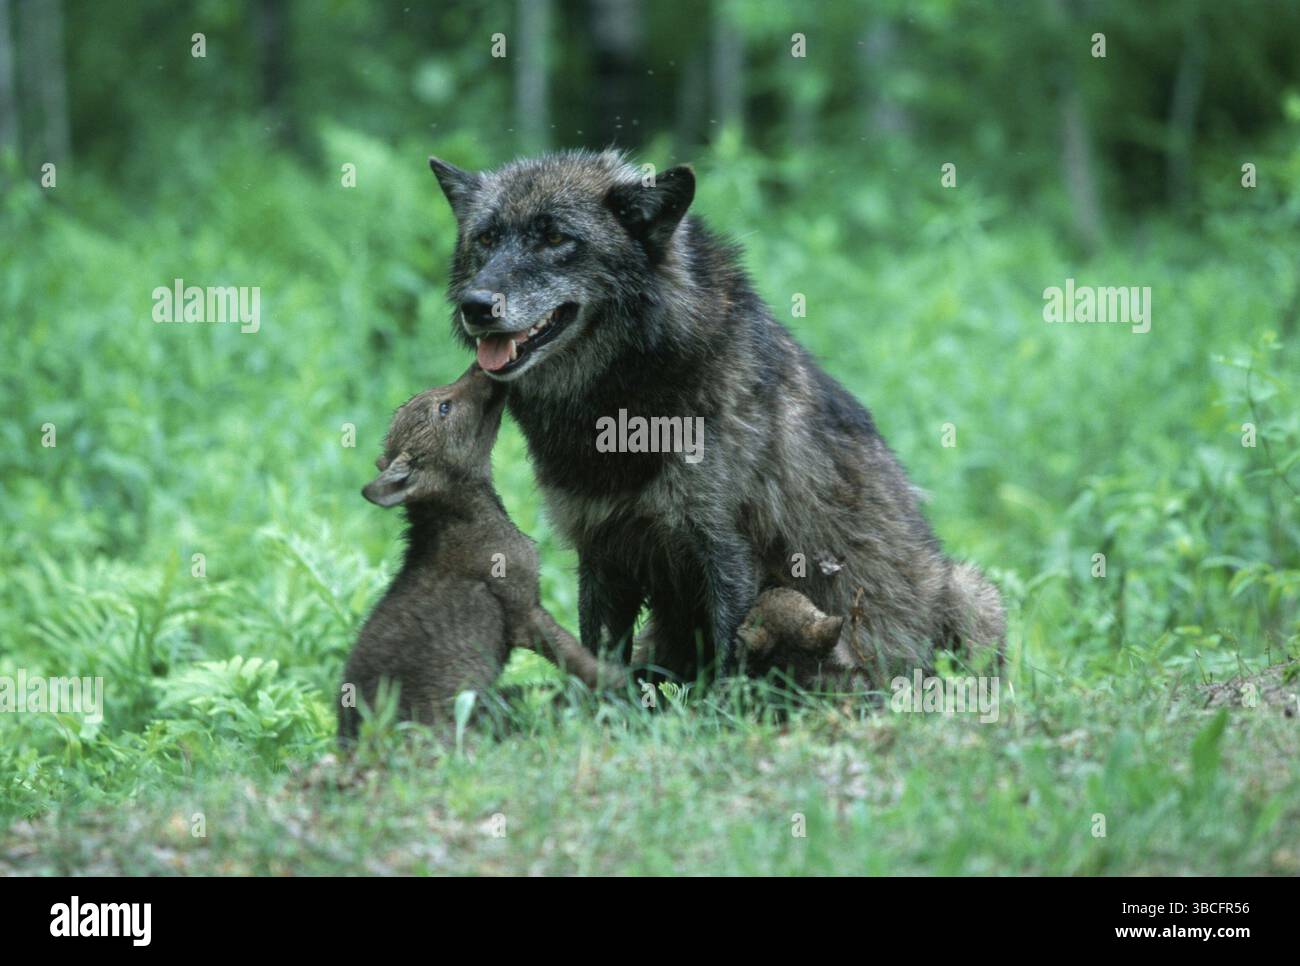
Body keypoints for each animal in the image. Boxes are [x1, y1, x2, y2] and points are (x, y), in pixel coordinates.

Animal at [429, 150, 1004, 684]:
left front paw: (728, 712)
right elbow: (597, 652)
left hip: (975, 591)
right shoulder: (600, 548)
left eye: (554, 238)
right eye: (486, 238)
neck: (622, 401)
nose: (476, 304)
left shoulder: (726, 549)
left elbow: (732, 652)